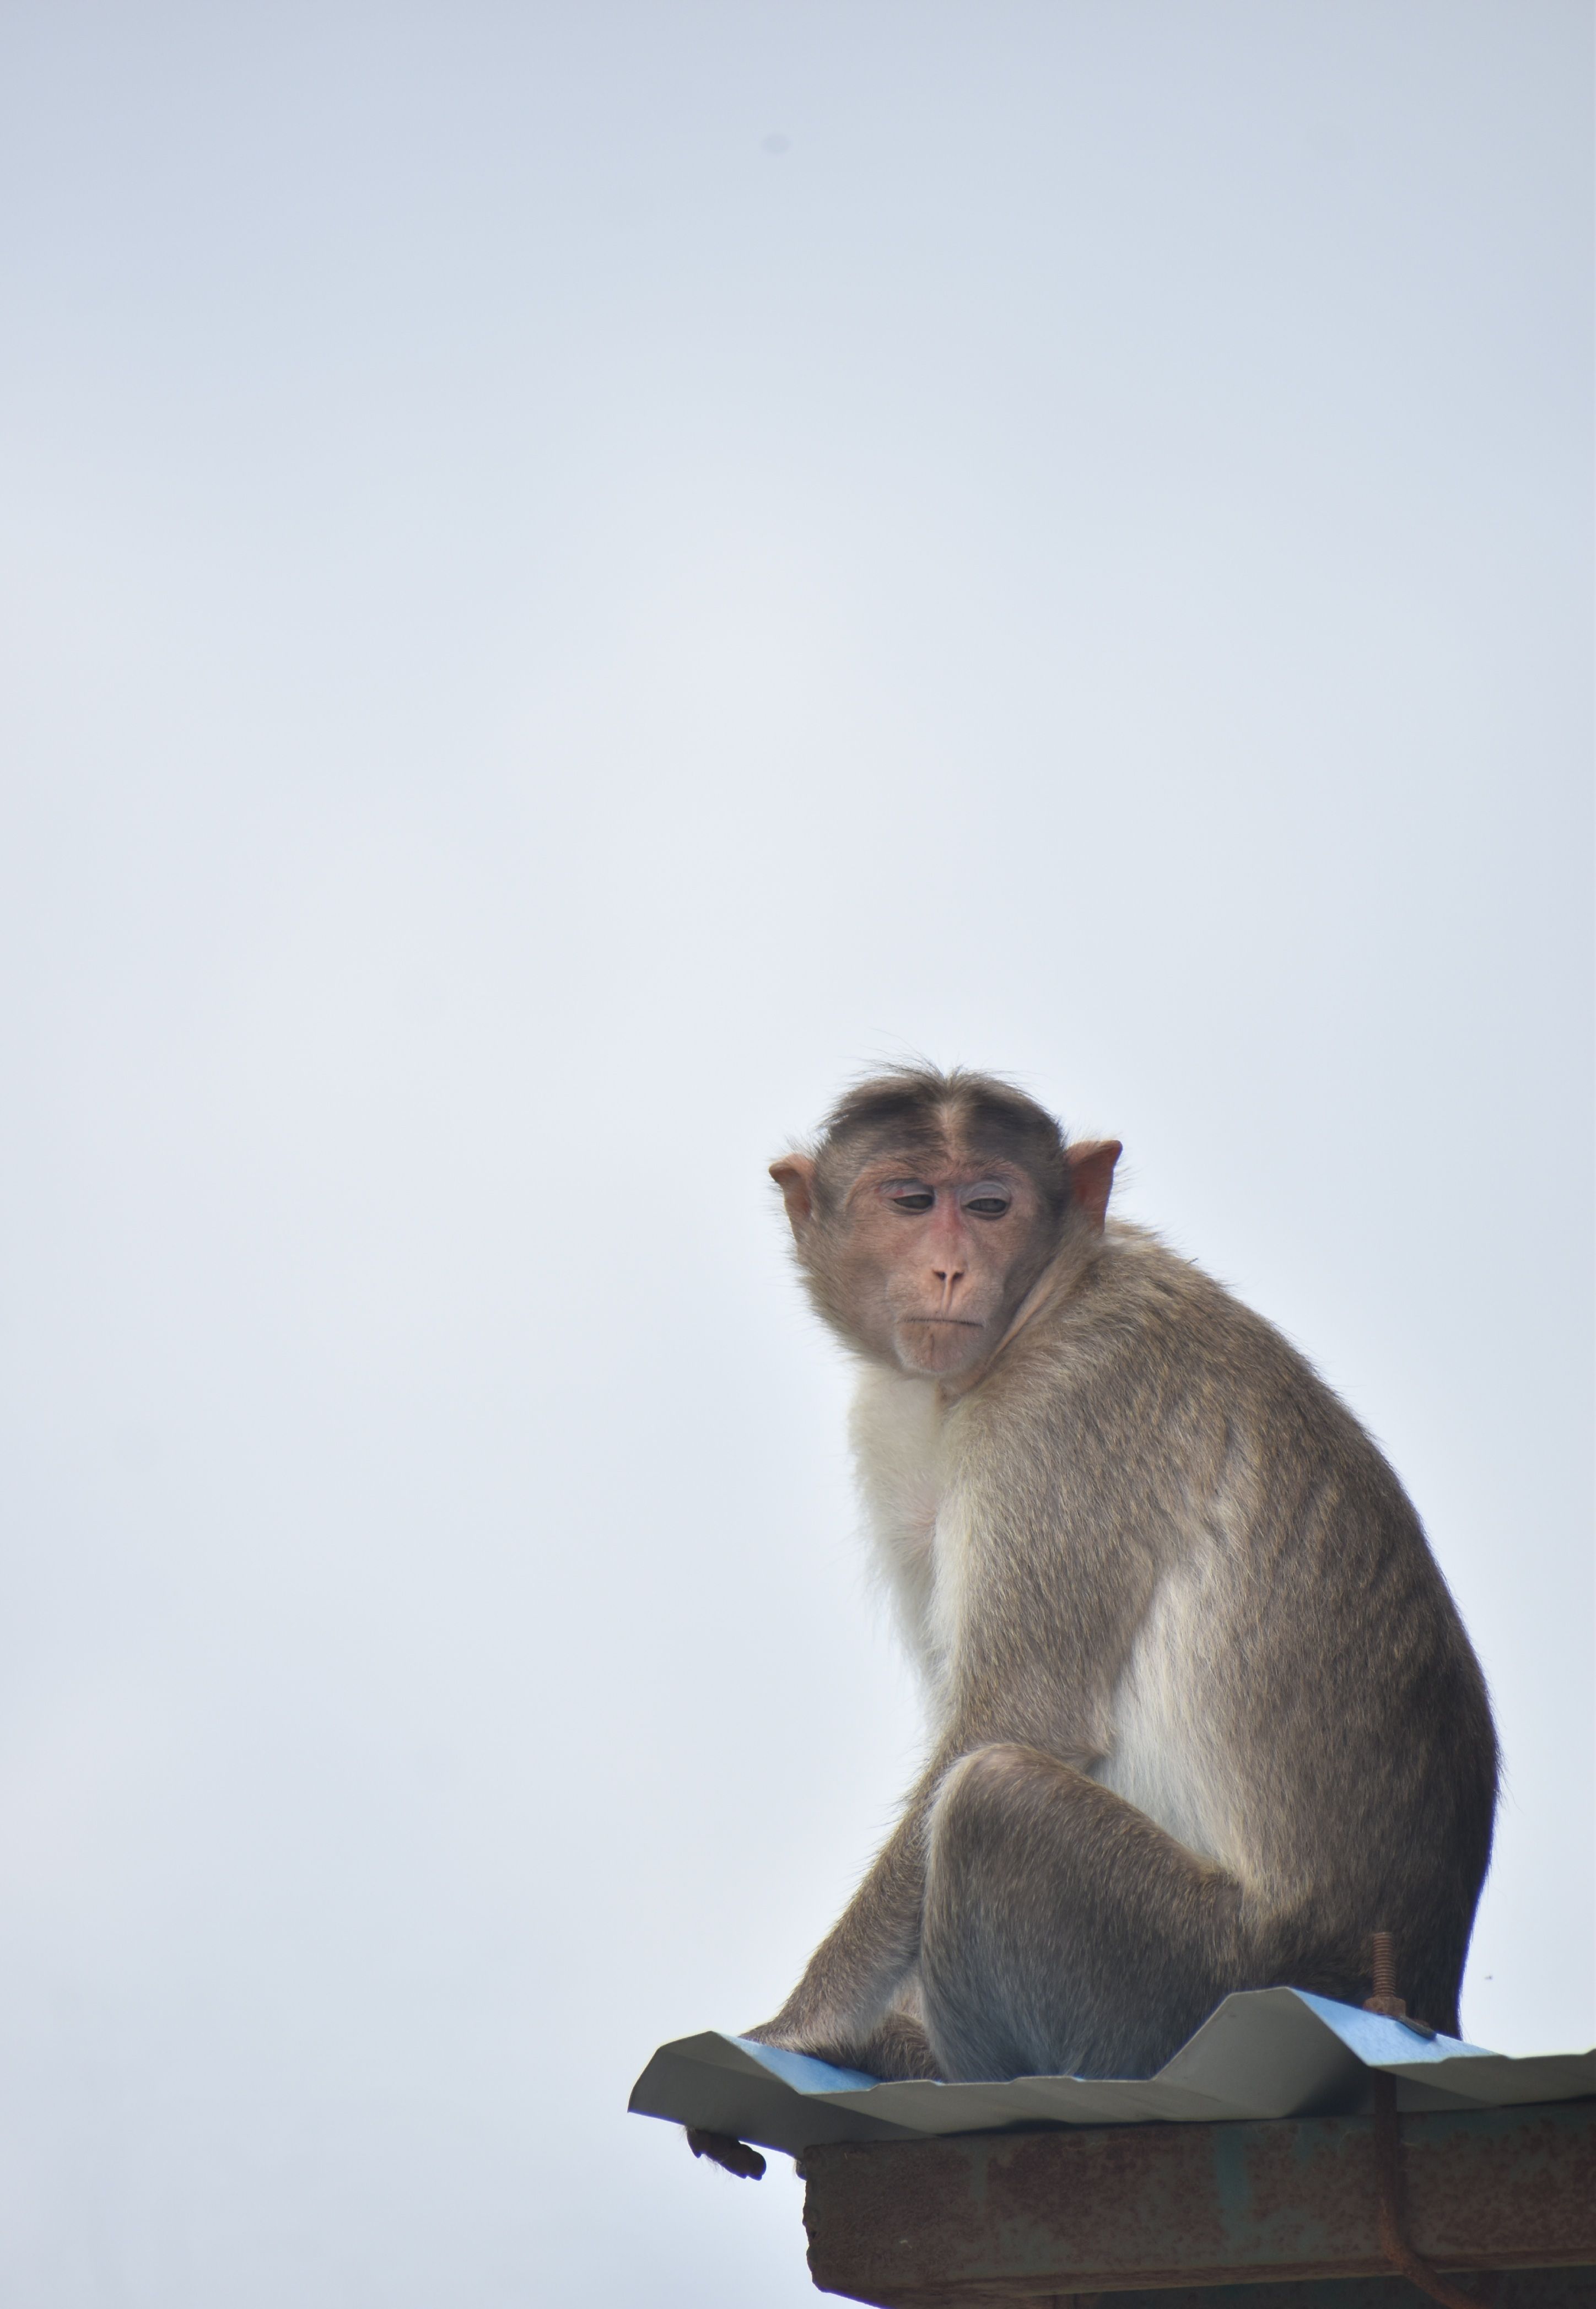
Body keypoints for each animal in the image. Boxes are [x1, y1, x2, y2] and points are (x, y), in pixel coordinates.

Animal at [689, 1066, 1496, 2176]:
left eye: (991, 1204)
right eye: (912, 1199)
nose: (948, 1268)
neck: (1049, 1301)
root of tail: (1417, 1994)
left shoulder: (1061, 1407)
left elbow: (1011, 1719)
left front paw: (794, 2031)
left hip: (1201, 1979)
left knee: (992, 1801)